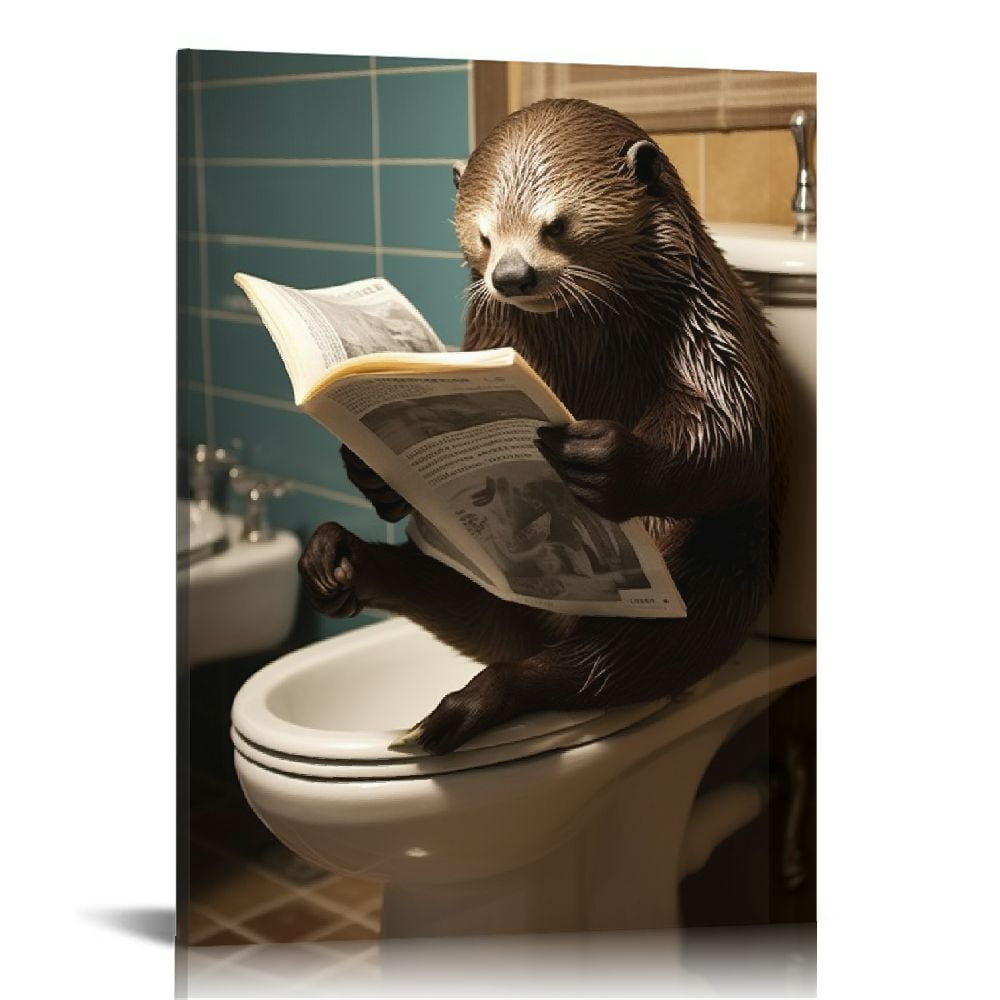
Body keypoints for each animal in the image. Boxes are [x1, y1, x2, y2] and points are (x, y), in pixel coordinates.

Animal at [299, 98, 790, 754]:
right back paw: (335, 561)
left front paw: (605, 459)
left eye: (555, 225)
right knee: (449, 592)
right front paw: (369, 470)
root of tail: (551, 622)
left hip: (712, 585)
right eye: (484, 235)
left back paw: (461, 708)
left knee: (610, 663)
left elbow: (734, 438)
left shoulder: (708, 326)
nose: (510, 275)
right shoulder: (483, 337)